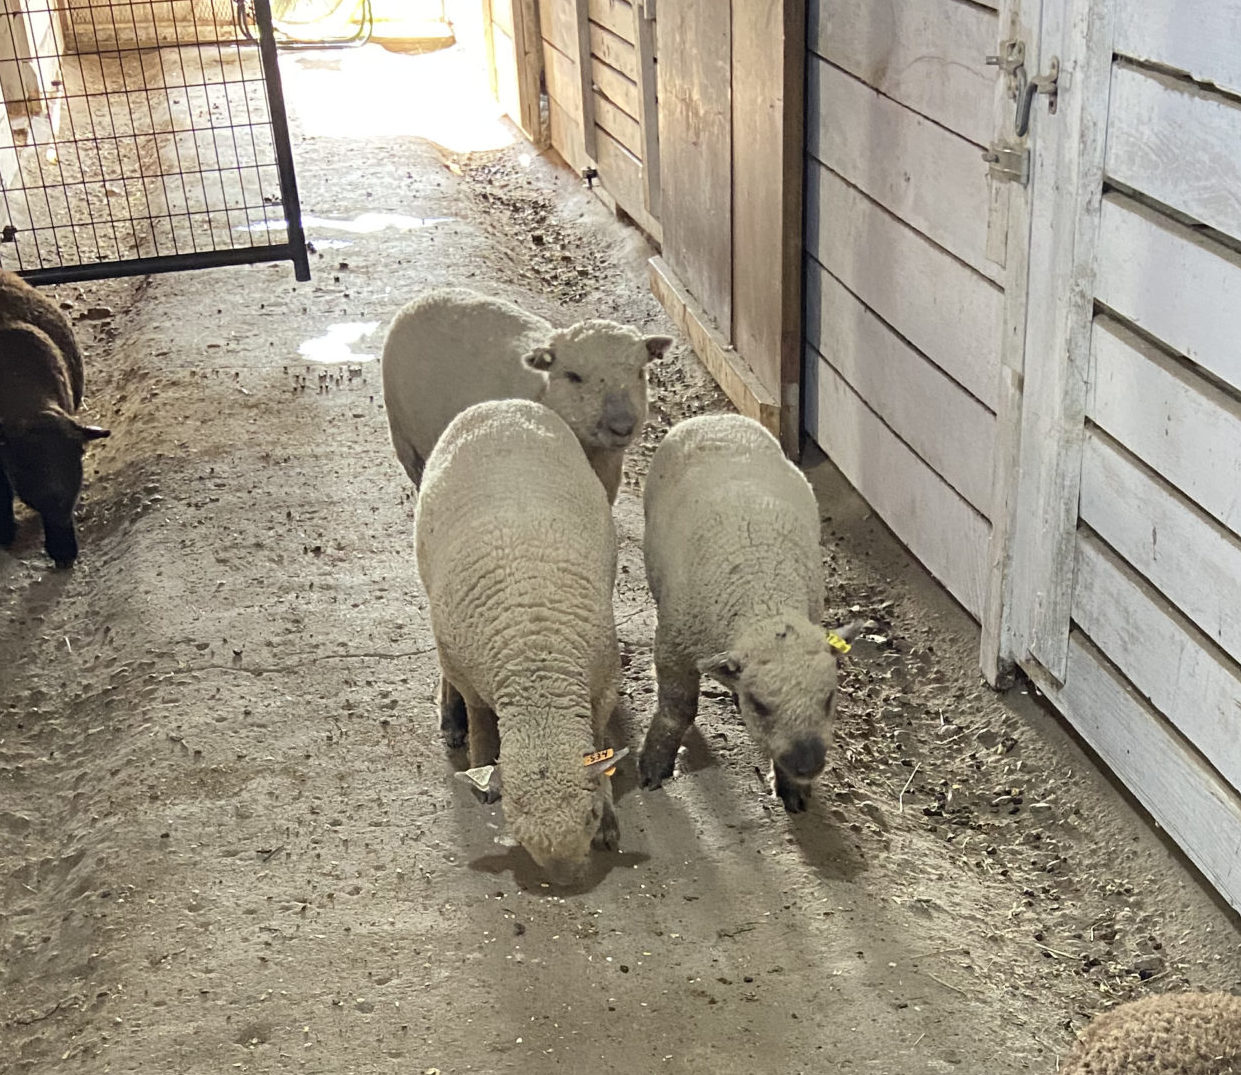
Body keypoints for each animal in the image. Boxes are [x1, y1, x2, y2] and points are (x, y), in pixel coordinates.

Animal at [415, 398, 626, 885]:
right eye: (514, 820)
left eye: (588, 816)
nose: (566, 876)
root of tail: (498, 402)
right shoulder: (473, 678)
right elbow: (480, 726)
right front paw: (480, 762)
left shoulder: (604, 681)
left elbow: (601, 741)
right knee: (446, 673)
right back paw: (449, 720)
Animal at [637, 413, 862, 813]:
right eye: (759, 705)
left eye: (829, 699)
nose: (807, 764)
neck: (762, 596)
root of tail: (717, 417)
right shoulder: (672, 644)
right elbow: (677, 708)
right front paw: (655, 764)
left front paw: (791, 789)